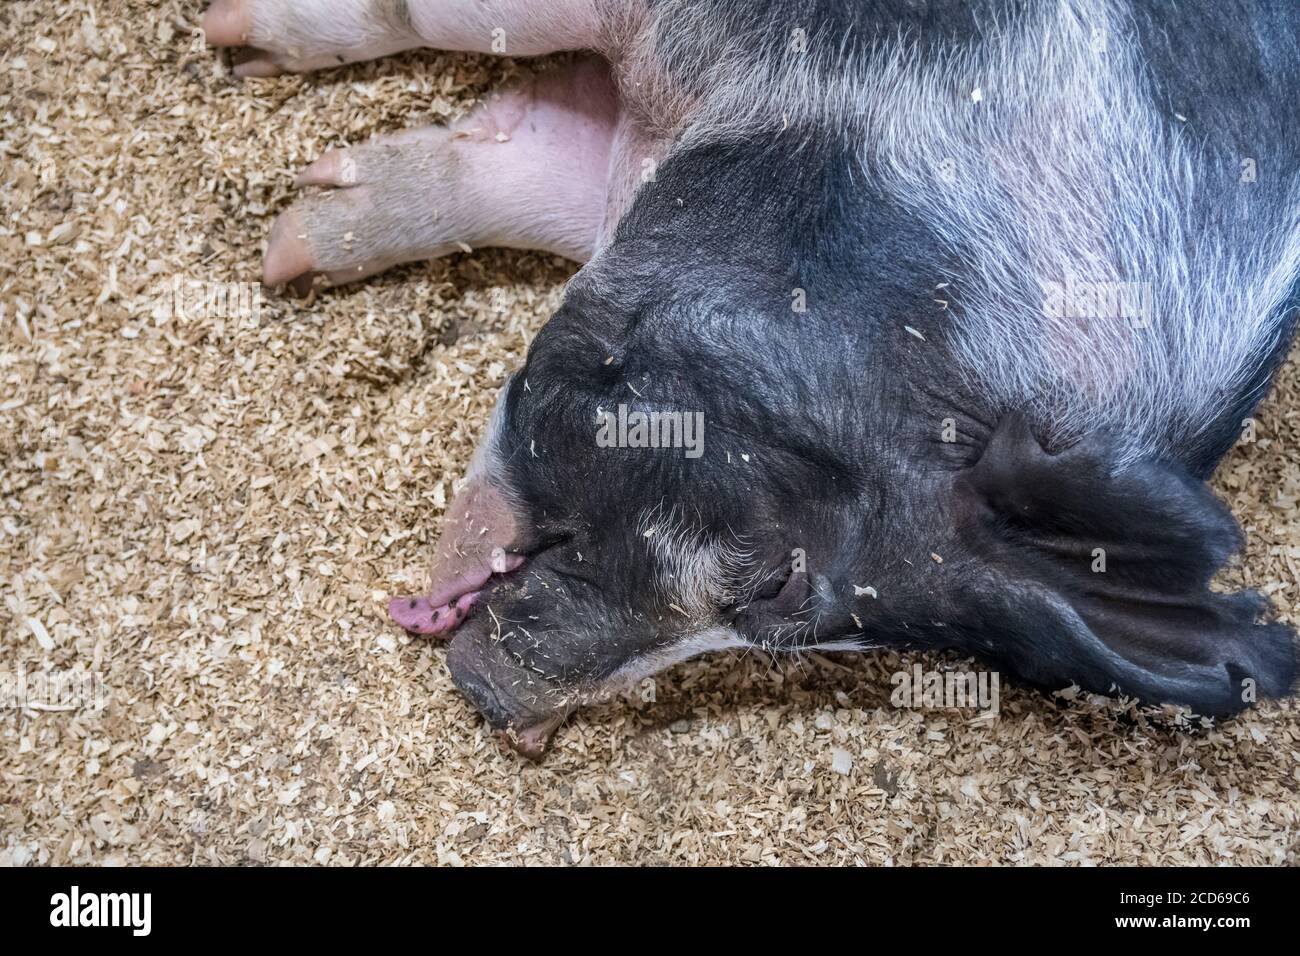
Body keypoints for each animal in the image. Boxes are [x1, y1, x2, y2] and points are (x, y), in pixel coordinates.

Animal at [204, 0, 1300, 757]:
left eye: (788, 633)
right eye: (776, 575)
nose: (501, 704)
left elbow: (514, 172)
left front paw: (285, 246)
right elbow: (433, 18)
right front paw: (237, 56)